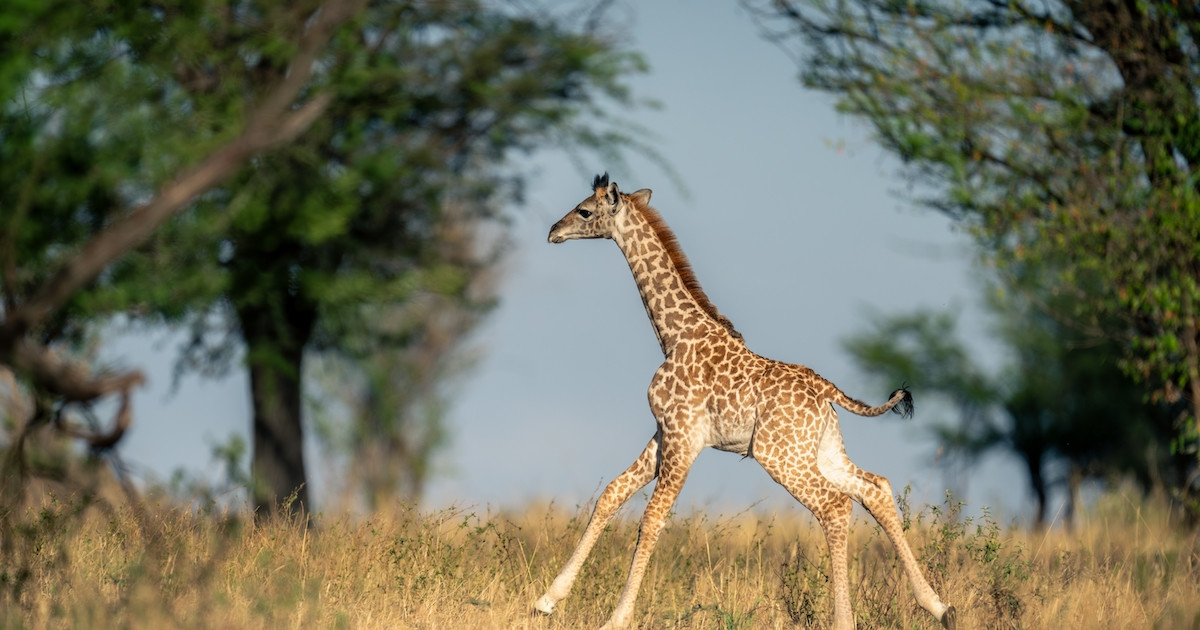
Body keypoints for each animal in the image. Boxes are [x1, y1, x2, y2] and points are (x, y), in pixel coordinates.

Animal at [534, 174, 956, 630]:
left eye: (584, 211)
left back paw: (848, 620)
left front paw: (616, 619)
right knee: (875, 488)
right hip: (820, 451)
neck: (674, 335)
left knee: (836, 505)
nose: (553, 232)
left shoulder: (684, 437)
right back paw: (940, 607)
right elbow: (610, 494)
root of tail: (828, 391)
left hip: (780, 456)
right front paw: (546, 600)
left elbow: (652, 518)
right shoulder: (665, 433)